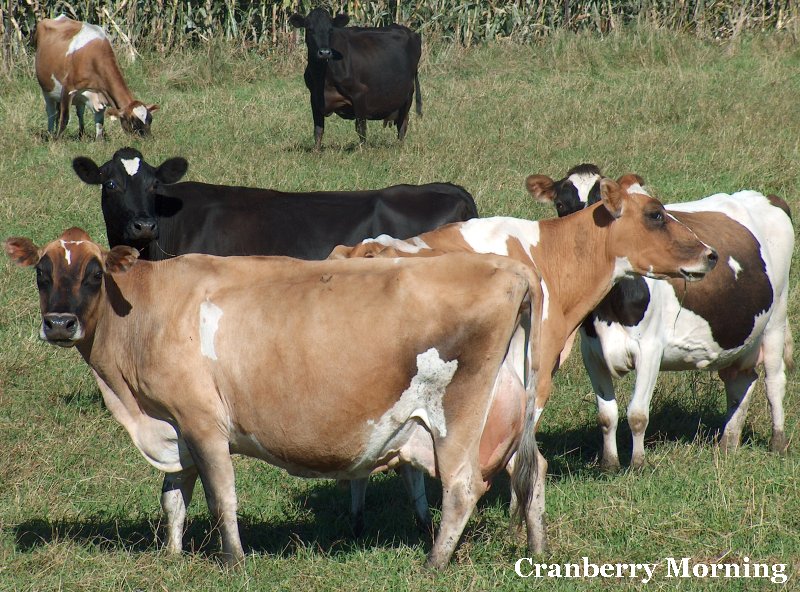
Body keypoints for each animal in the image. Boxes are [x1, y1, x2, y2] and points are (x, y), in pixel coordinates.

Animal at [6, 228, 545, 568]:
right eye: (41, 273)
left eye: (95, 273)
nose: (59, 323)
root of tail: (511, 270)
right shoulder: (174, 424)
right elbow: (174, 497)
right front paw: (172, 557)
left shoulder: (202, 421)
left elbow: (221, 496)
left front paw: (233, 561)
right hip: (510, 412)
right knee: (534, 473)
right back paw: (536, 551)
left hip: (457, 416)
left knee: (462, 488)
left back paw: (433, 564)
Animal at [289, 8, 422, 149]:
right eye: (309, 29)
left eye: (330, 30)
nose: (324, 52)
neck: (323, 78)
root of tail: (409, 31)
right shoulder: (314, 97)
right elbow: (318, 129)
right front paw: (316, 151)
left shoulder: (360, 94)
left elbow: (361, 128)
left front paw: (362, 150)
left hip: (408, 94)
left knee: (402, 124)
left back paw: (400, 147)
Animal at [330, 176, 718, 525]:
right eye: (655, 214)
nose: (711, 254)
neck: (550, 260)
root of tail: (367, 248)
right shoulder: (536, 372)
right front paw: (519, 505)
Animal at [527, 166, 795, 470]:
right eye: (561, 204)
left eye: (601, 201)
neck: (609, 308)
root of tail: (765, 197)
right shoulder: (592, 353)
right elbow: (607, 415)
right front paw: (609, 464)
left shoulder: (651, 349)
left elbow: (637, 414)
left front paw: (638, 465)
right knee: (741, 381)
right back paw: (728, 443)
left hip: (776, 318)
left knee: (774, 381)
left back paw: (777, 443)